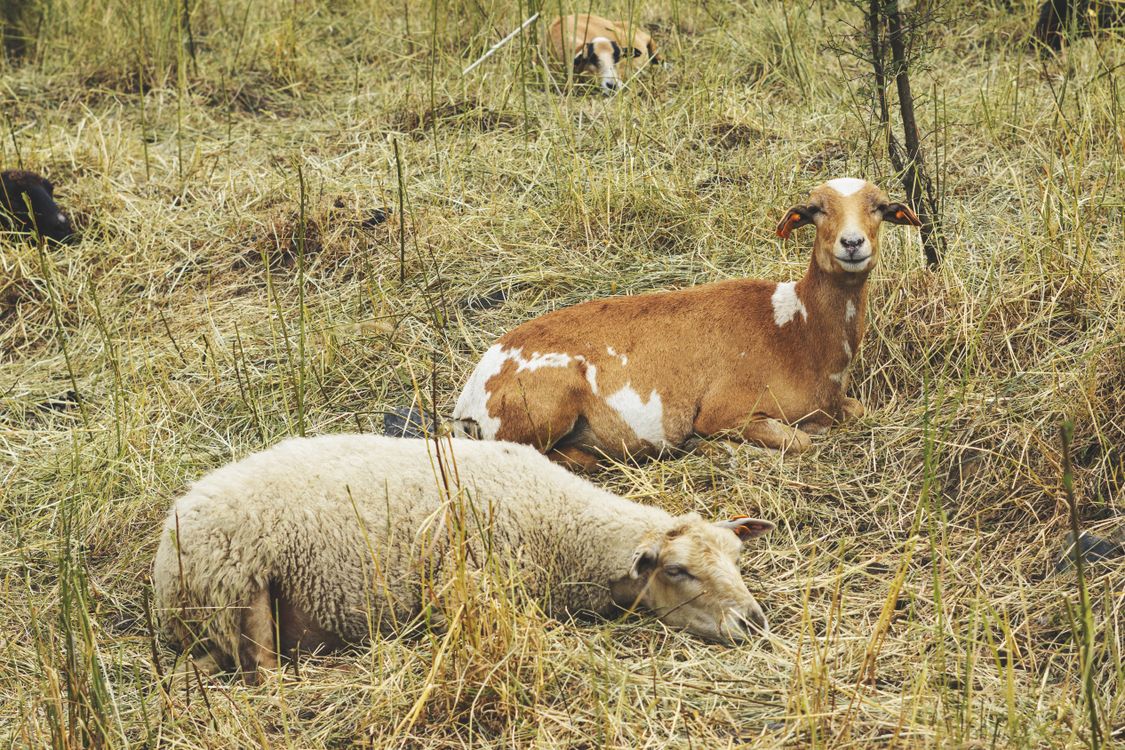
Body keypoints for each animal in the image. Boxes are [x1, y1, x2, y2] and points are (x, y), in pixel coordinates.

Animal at [153, 434, 775, 682]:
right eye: (677, 570)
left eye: (737, 557)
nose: (753, 621)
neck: (563, 526)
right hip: (240, 589)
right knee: (264, 675)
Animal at [452, 178, 922, 469]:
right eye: (816, 210)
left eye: (879, 208)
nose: (852, 243)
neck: (795, 331)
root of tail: (468, 399)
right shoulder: (725, 409)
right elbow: (798, 442)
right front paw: (713, 448)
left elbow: (857, 411)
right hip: (547, 402)